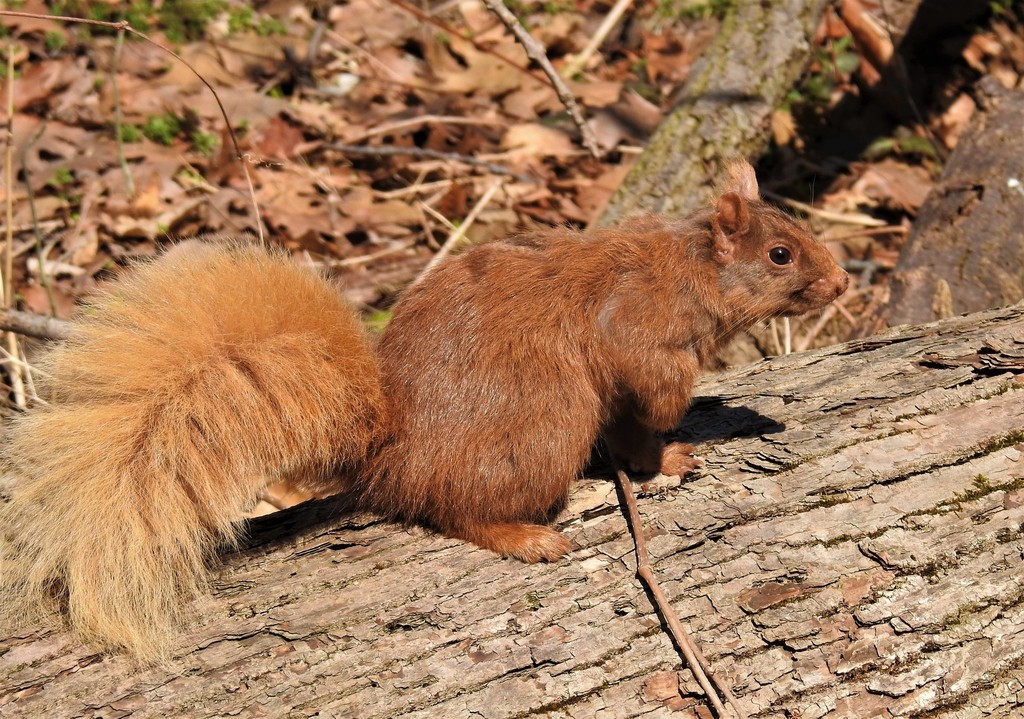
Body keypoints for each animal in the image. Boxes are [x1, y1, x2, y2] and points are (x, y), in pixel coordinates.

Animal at [0, 160, 848, 661]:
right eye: (780, 255)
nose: (841, 283)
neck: (689, 267)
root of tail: (392, 451)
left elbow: (635, 430)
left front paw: (664, 455)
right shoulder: (638, 331)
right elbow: (648, 398)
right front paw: (673, 448)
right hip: (545, 429)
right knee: (454, 510)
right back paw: (527, 537)